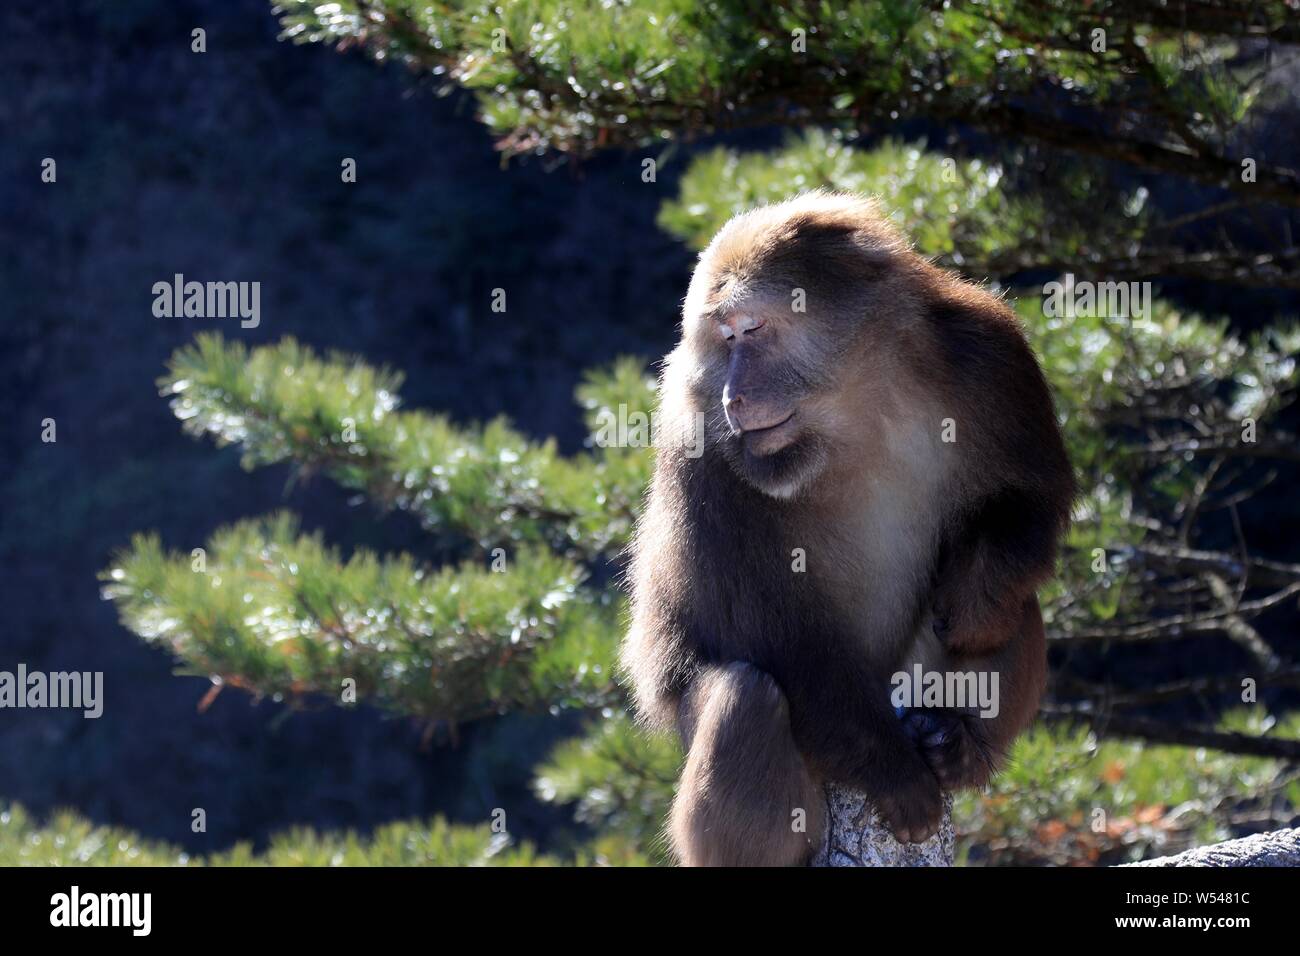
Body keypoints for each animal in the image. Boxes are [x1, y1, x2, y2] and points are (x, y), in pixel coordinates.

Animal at [621, 191, 1074, 866]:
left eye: (750, 329)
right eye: (721, 339)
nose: (731, 396)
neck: (855, 405)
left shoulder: (990, 350)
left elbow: (1030, 494)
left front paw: (977, 595)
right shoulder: (697, 449)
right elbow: (772, 629)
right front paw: (896, 777)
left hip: (907, 682)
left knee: (1015, 602)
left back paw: (960, 743)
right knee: (747, 697)